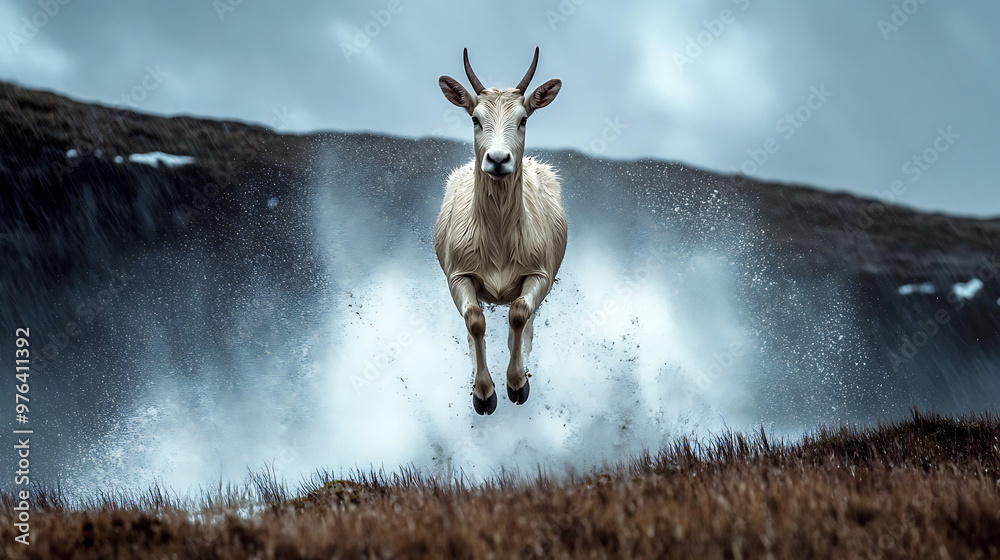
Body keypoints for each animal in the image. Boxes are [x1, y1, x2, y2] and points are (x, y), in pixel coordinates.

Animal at [435, 47, 567, 415]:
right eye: (474, 119)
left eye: (523, 119)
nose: (497, 159)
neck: (497, 240)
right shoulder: (458, 275)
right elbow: (475, 320)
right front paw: (484, 394)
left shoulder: (540, 273)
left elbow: (520, 314)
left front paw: (516, 384)